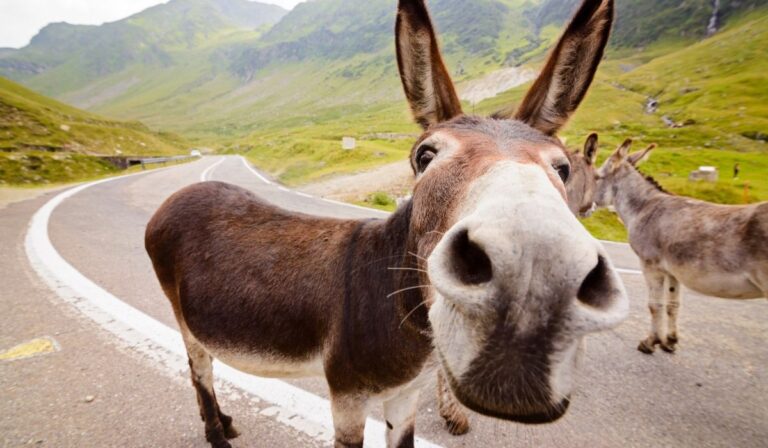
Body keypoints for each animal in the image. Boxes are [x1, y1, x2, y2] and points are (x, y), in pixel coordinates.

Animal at [145, 1, 627, 446]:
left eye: (562, 168)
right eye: (425, 156)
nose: (532, 284)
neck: (399, 301)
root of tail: (177, 196)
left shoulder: (405, 396)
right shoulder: (347, 397)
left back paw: (224, 422)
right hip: (185, 319)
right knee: (199, 371)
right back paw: (217, 433)